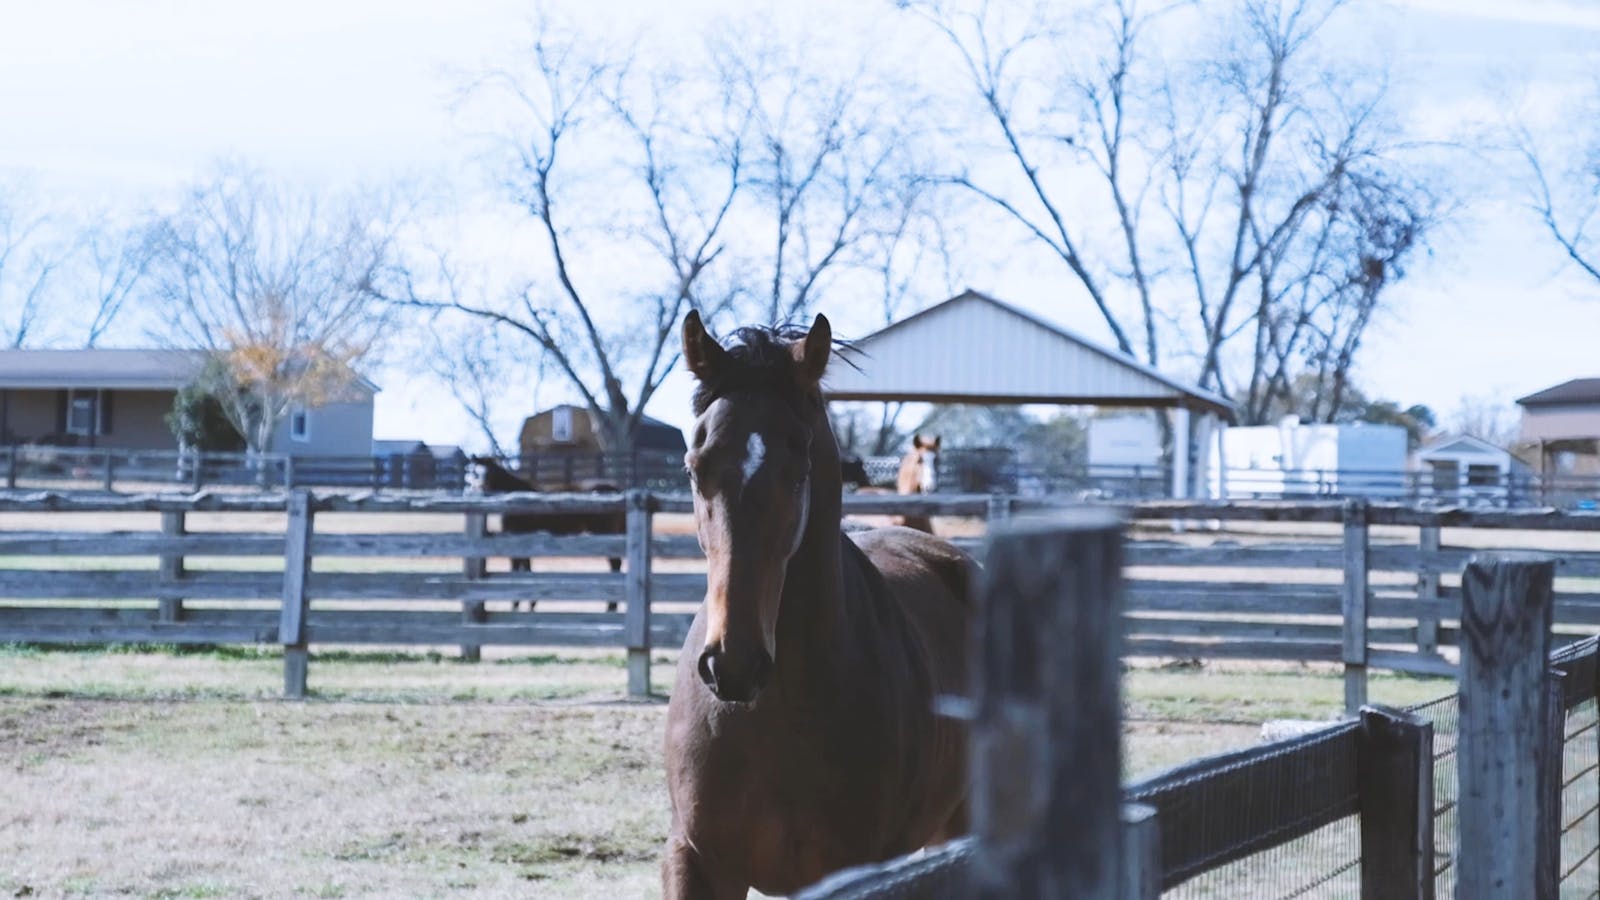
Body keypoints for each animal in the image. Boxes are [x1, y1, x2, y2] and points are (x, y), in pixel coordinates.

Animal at [466, 456, 624, 612]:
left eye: (490, 472)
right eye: (473, 472)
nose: (477, 490)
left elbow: (518, 569)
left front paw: (518, 606)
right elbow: (526, 569)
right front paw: (530, 605)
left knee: (616, 565)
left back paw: (611, 607)